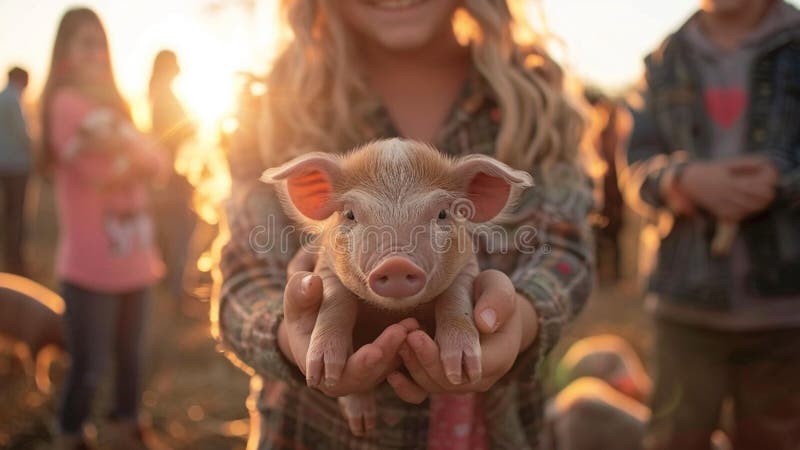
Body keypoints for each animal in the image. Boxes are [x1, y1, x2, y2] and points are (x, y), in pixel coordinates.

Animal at [261, 138, 533, 435]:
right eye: (350, 214)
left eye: (442, 213)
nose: (396, 263)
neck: (395, 312)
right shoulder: (324, 267)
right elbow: (336, 302)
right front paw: (325, 374)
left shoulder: (467, 268)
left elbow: (456, 300)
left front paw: (460, 371)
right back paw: (363, 424)